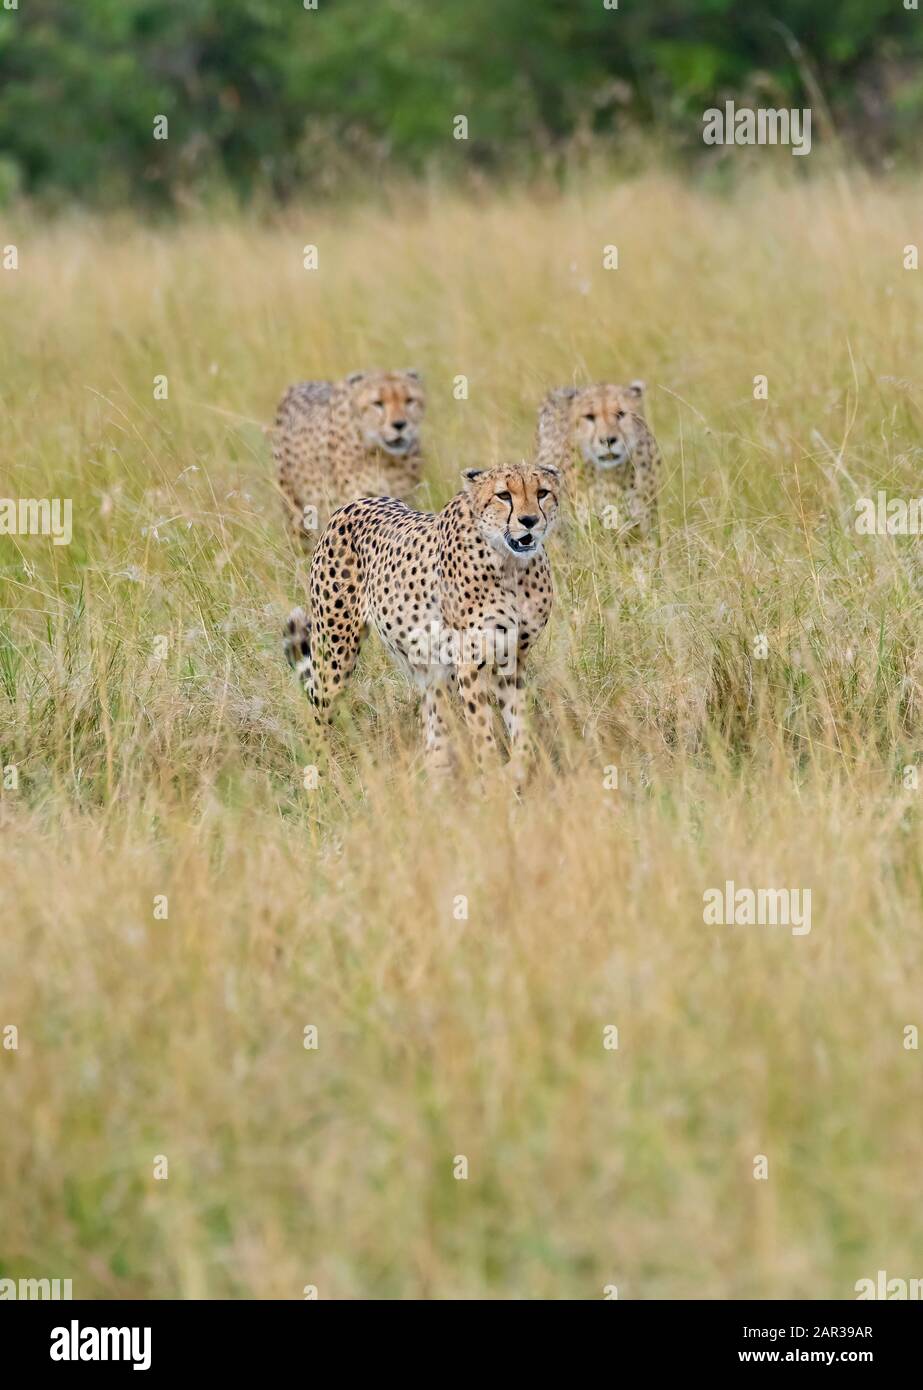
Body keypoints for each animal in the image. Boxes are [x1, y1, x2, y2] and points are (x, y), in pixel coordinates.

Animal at [283, 461, 561, 776]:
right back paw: (319, 774)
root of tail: (353, 503)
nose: (529, 520)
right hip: (335, 654)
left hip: (432, 672)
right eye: (503, 495)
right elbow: (481, 728)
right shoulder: (469, 661)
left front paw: (518, 767)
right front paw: (493, 775)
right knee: (318, 714)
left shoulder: (512, 656)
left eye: (542, 492)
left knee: (434, 731)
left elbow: (519, 722)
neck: (511, 565)